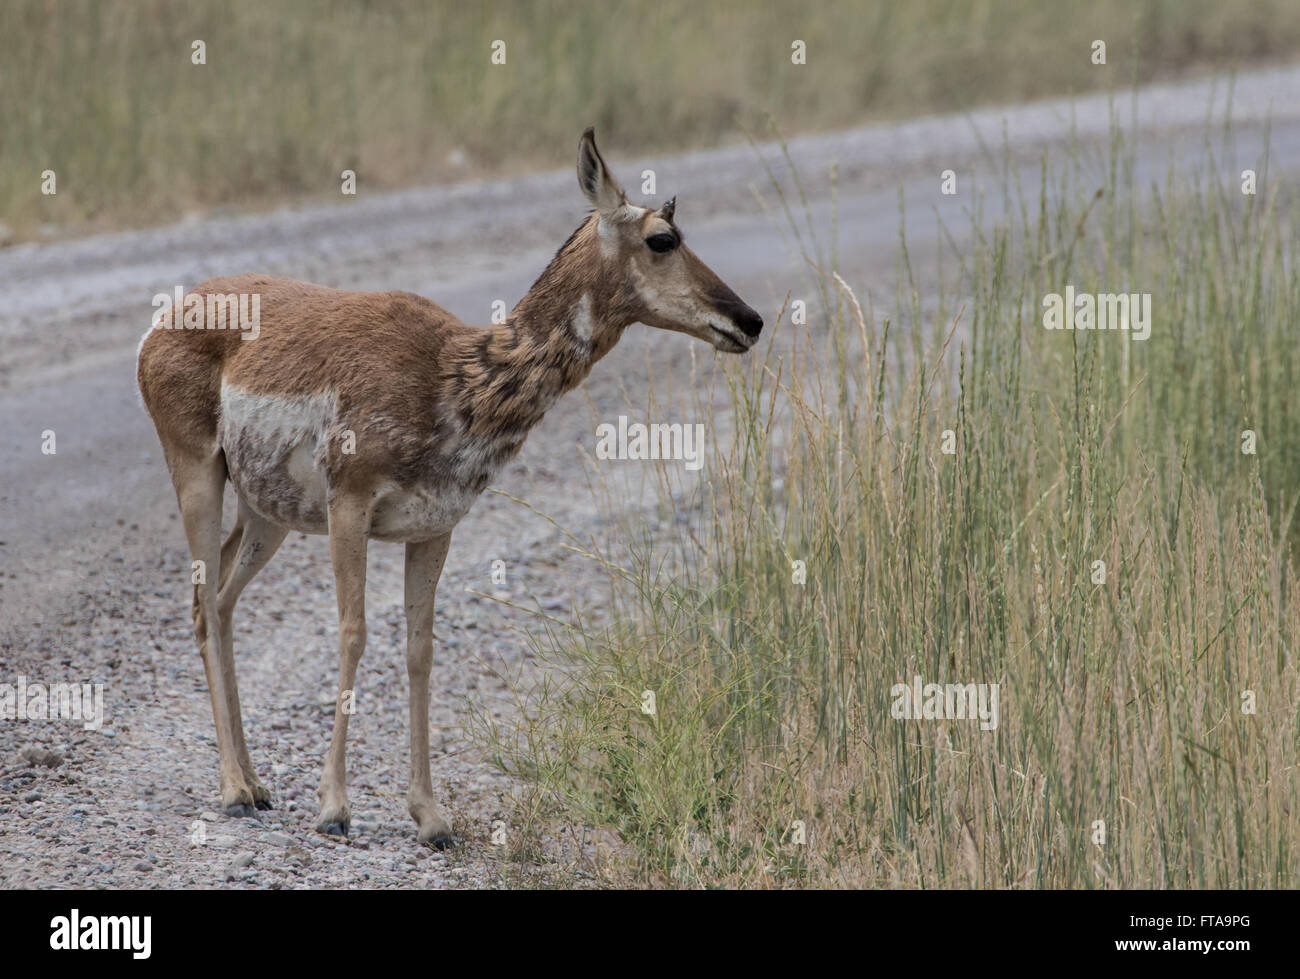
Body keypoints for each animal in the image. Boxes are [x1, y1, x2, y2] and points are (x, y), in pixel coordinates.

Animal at [137, 128, 763, 847]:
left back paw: (257, 783)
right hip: (198, 474)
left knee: (219, 601)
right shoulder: (350, 504)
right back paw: (235, 789)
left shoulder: (435, 528)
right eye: (663, 238)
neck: (456, 375)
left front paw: (432, 817)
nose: (750, 320)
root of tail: (162, 322)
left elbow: (420, 649)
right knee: (204, 603)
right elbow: (354, 631)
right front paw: (335, 807)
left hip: (266, 514)